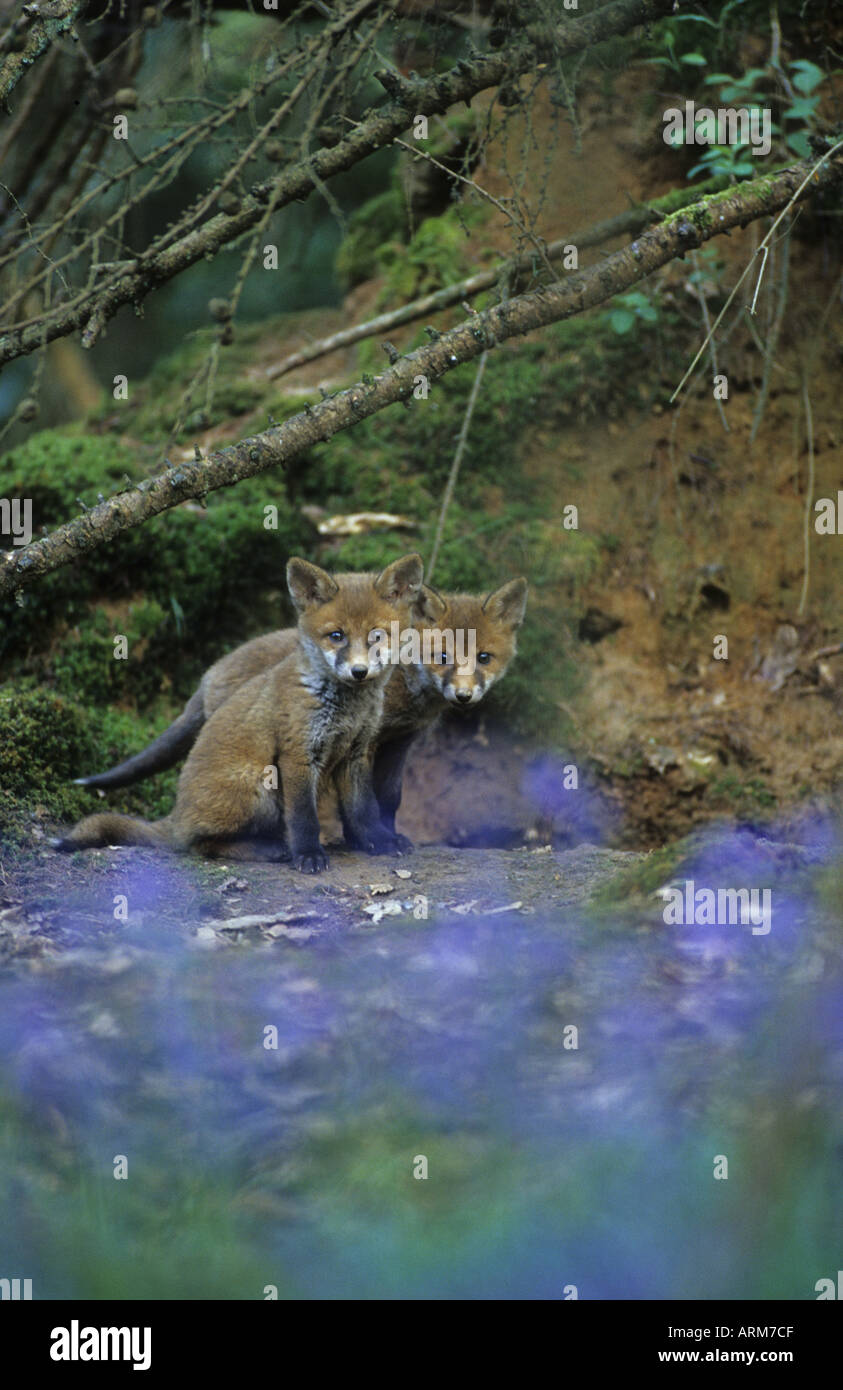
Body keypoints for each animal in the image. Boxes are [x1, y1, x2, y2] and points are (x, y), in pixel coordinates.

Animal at [53, 554, 426, 872]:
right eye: (337, 636)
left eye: (377, 635)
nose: (359, 672)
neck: (346, 708)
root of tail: (176, 814)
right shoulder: (296, 755)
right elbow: (304, 817)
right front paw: (308, 855)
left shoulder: (355, 753)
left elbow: (364, 810)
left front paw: (380, 841)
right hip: (260, 787)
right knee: (197, 846)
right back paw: (269, 849)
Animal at [74, 577, 529, 847]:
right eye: (443, 657)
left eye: (484, 658)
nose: (464, 697)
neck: (406, 687)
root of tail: (210, 673)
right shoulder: (367, 740)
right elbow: (357, 802)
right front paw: (361, 840)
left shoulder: (401, 742)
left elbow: (390, 797)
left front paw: (387, 836)